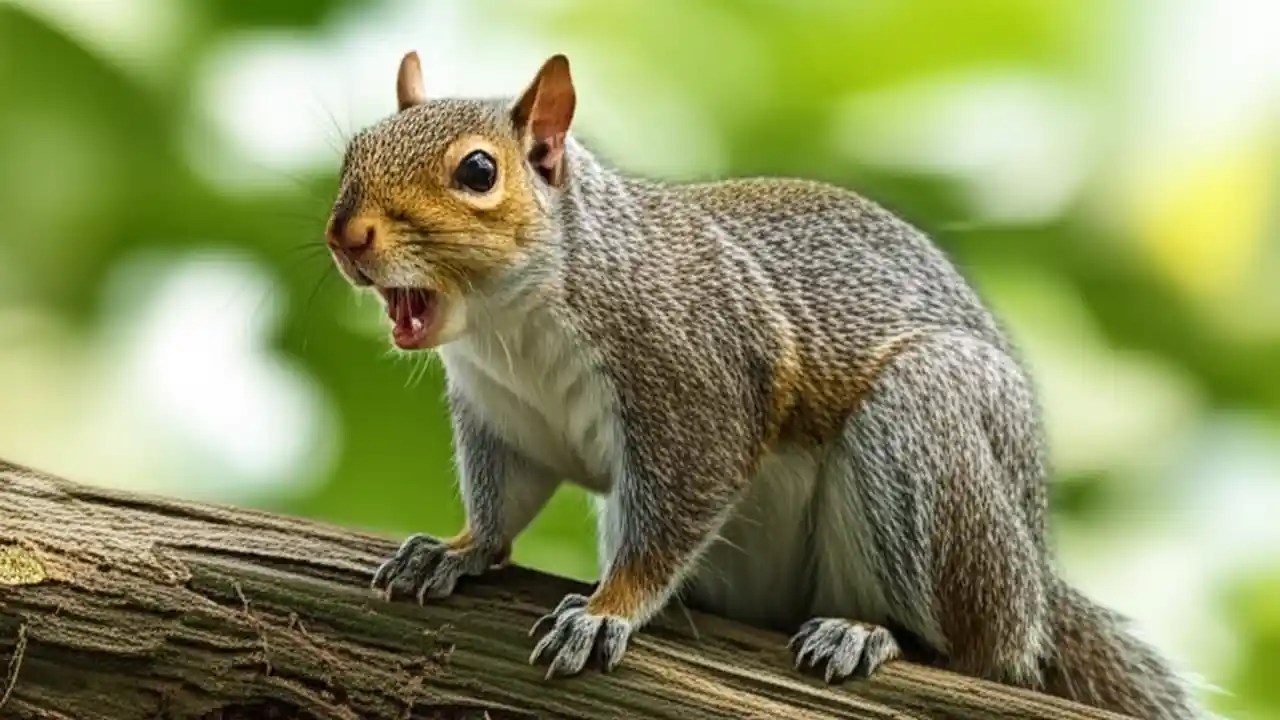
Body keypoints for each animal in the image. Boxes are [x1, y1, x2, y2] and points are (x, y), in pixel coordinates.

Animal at [324, 51, 1200, 719]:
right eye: (353, 151)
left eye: (479, 170)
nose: (346, 235)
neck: (512, 327)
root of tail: (1036, 577)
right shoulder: (504, 419)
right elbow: (503, 503)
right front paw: (456, 549)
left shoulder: (697, 385)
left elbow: (675, 514)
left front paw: (607, 611)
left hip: (926, 435)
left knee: (980, 652)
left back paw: (873, 634)